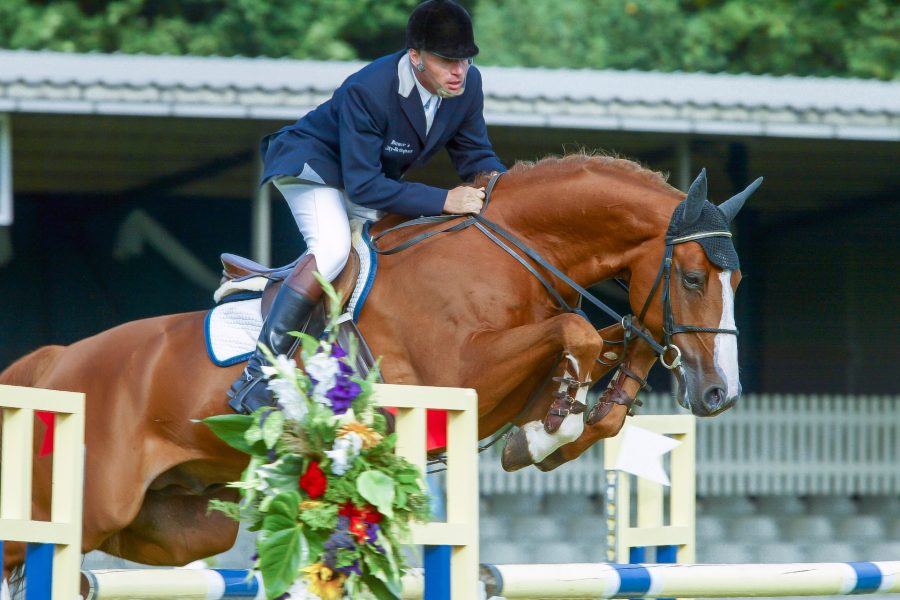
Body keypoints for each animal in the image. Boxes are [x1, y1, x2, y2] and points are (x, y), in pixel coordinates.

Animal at [0, 154, 759, 574]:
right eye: (694, 277)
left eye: (738, 282)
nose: (719, 394)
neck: (509, 253)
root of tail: (56, 365)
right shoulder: (462, 373)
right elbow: (575, 331)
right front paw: (555, 429)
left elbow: (607, 342)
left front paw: (559, 430)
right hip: (84, 503)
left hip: (178, 523)